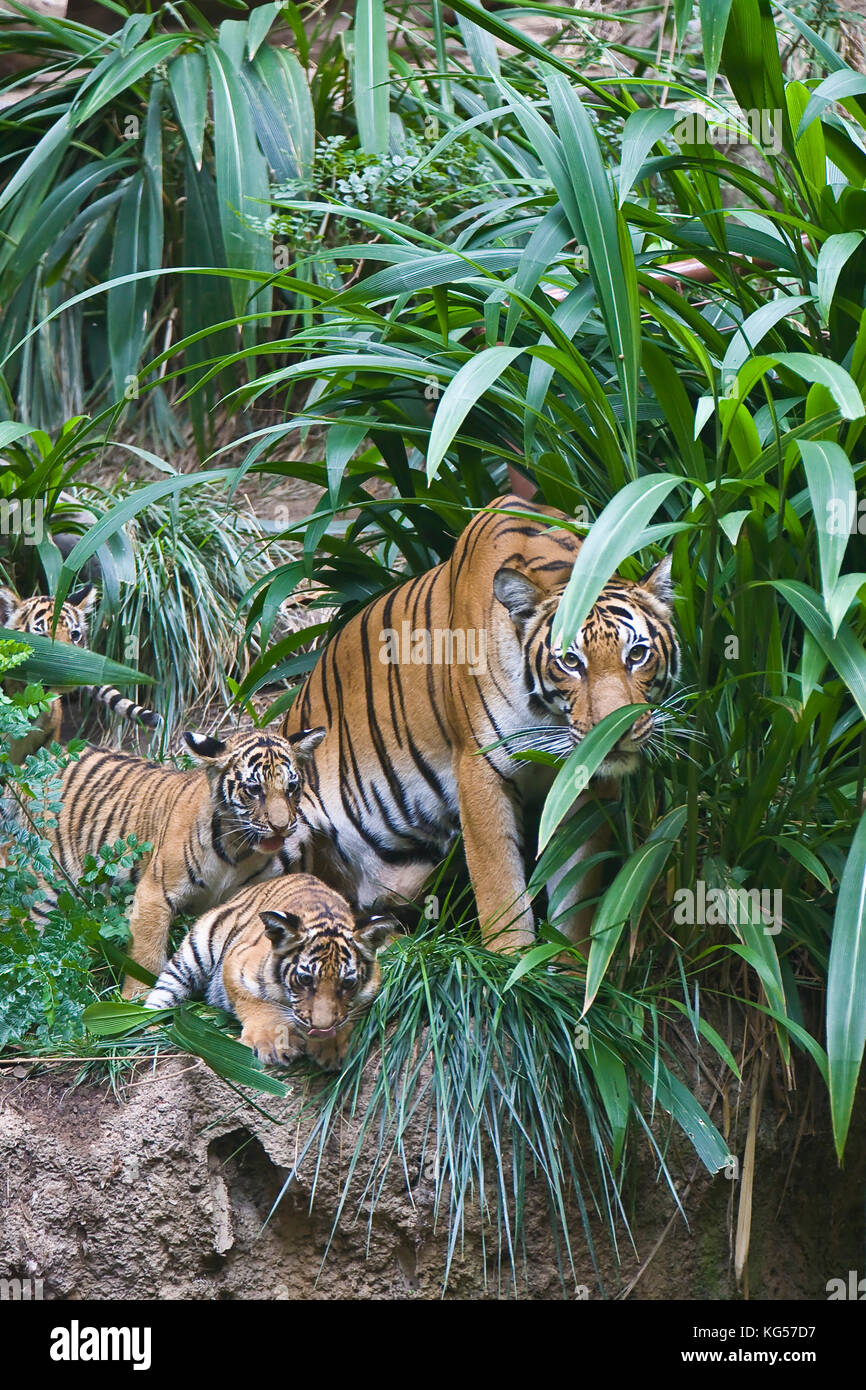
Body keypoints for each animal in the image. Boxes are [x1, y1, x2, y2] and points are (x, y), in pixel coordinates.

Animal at [25, 725, 325, 994]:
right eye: (253, 789)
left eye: (292, 787)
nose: (281, 826)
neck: (236, 849)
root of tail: (51, 755)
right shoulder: (154, 892)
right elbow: (147, 955)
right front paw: (135, 1005)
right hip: (47, 890)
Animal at [145, 873, 397, 1070]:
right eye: (305, 980)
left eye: (347, 984)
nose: (322, 1029)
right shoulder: (235, 964)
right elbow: (255, 1002)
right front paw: (274, 1043)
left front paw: (330, 1046)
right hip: (196, 950)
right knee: (163, 991)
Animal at [276, 494, 679, 953]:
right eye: (570, 662)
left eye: (637, 655)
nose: (614, 733)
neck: (547, 719)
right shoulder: (480, 770)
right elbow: (501, 890)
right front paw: (516, 964)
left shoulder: (582, 782)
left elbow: (576, 889)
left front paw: (569, 963)